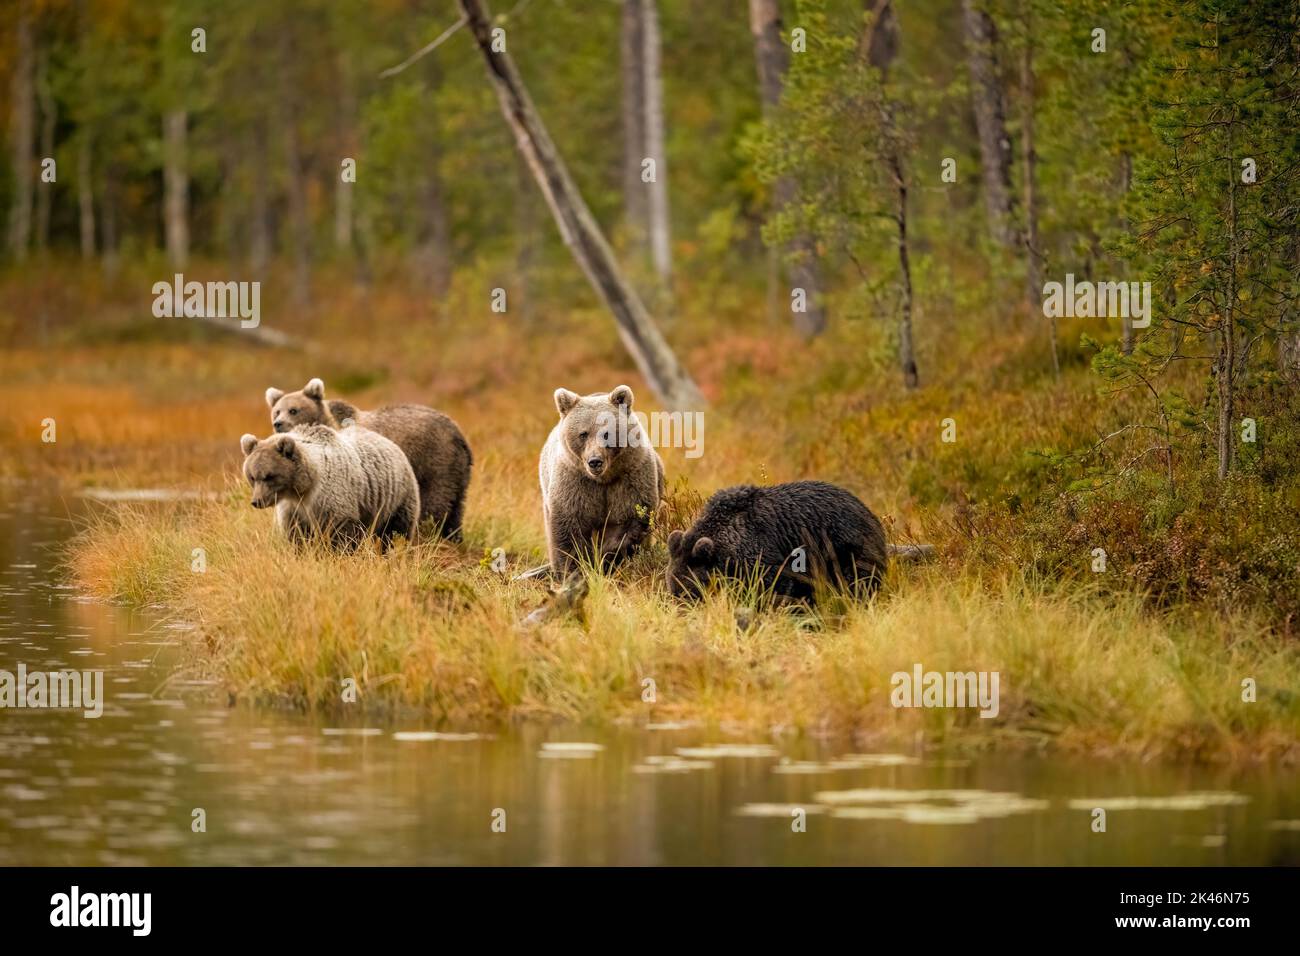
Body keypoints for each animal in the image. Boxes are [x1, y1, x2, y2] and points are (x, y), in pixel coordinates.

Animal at [240, 424, 419, 550]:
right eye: (252, 477)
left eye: (269, 476)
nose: (257, 501)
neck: (300, 488)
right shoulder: (292, 509)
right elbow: (297, 536)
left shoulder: (329, 497)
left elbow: (339, 533)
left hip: (396, 496)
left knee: (395, 531)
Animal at [264, 378, 472, 540]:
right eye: (276, 411)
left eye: (293, 410)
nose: (277, 423)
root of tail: (459, 433)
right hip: (457, 474)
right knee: (455, 509)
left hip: (434, 463)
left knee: (433, 505)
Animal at [539, 384, 665, 575]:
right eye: (583, 434)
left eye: (607, 433)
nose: (595, 461)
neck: (604, 479)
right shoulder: (575, 482)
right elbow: (569, 527)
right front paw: (576, 570)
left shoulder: (630, 478)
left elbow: (628, 521)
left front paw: (607, 557)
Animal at [665, 480, 888, 603]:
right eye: (673, 588)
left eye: (688, 590)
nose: (680, 609)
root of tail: (869, 513)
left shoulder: (763, 554)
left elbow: (773, 585)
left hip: (846, 548)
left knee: (857, 583)